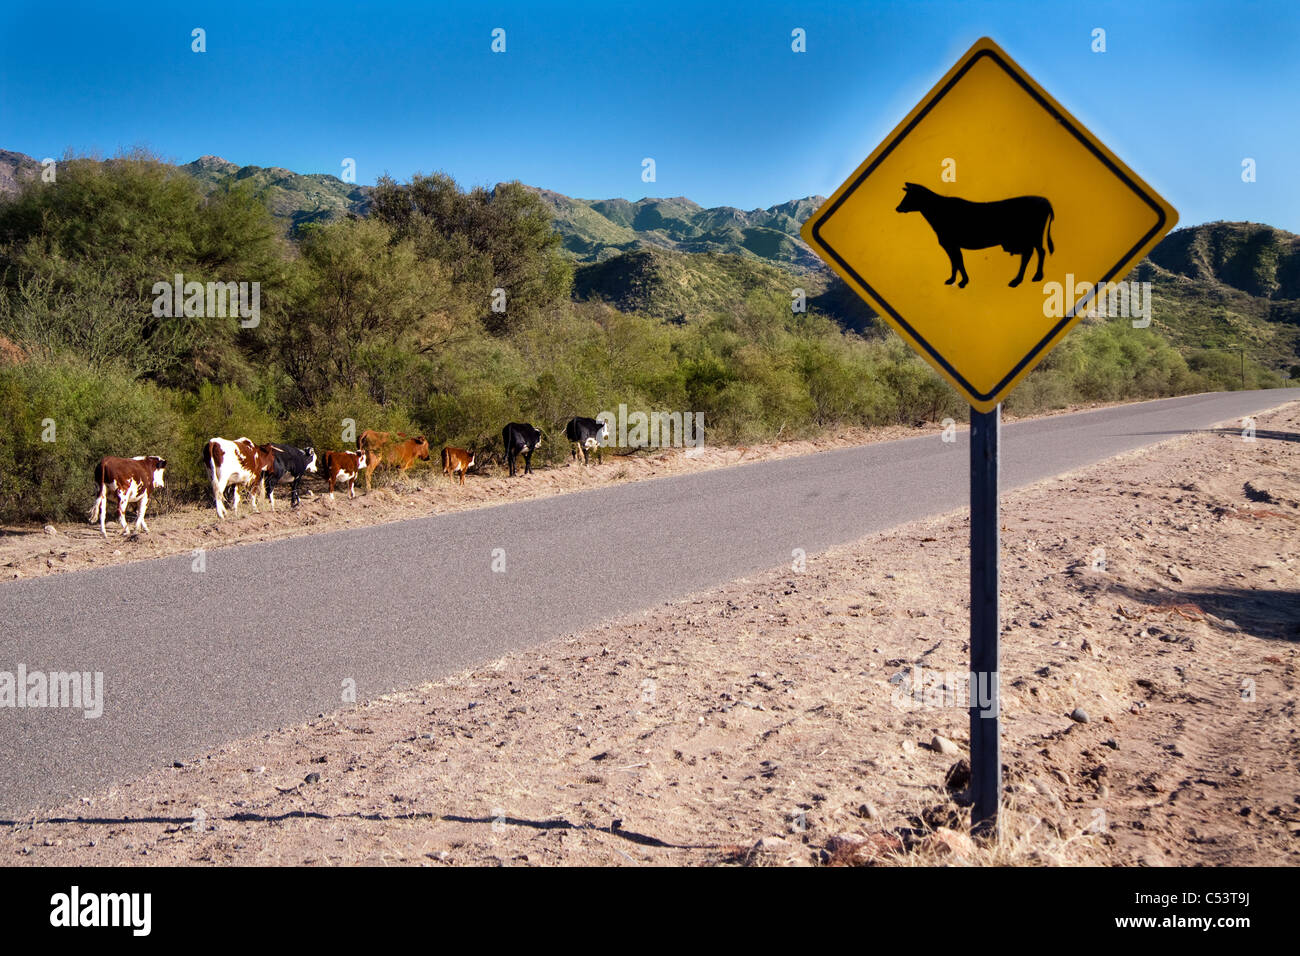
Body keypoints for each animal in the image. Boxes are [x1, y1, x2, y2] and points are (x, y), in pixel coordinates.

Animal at [895, 183, 1055, 289]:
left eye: (909, 195)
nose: (898, 208)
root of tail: (1045, 201)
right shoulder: (950, 245)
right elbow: (955, 262)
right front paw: (953, 279)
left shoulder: (951, 244)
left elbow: (958, 261)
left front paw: (962, 281)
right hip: (1032, 237)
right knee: (1037, 252)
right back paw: (1030, 277)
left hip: (1032, 235)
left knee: (1032, 253)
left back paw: (1022, 279)